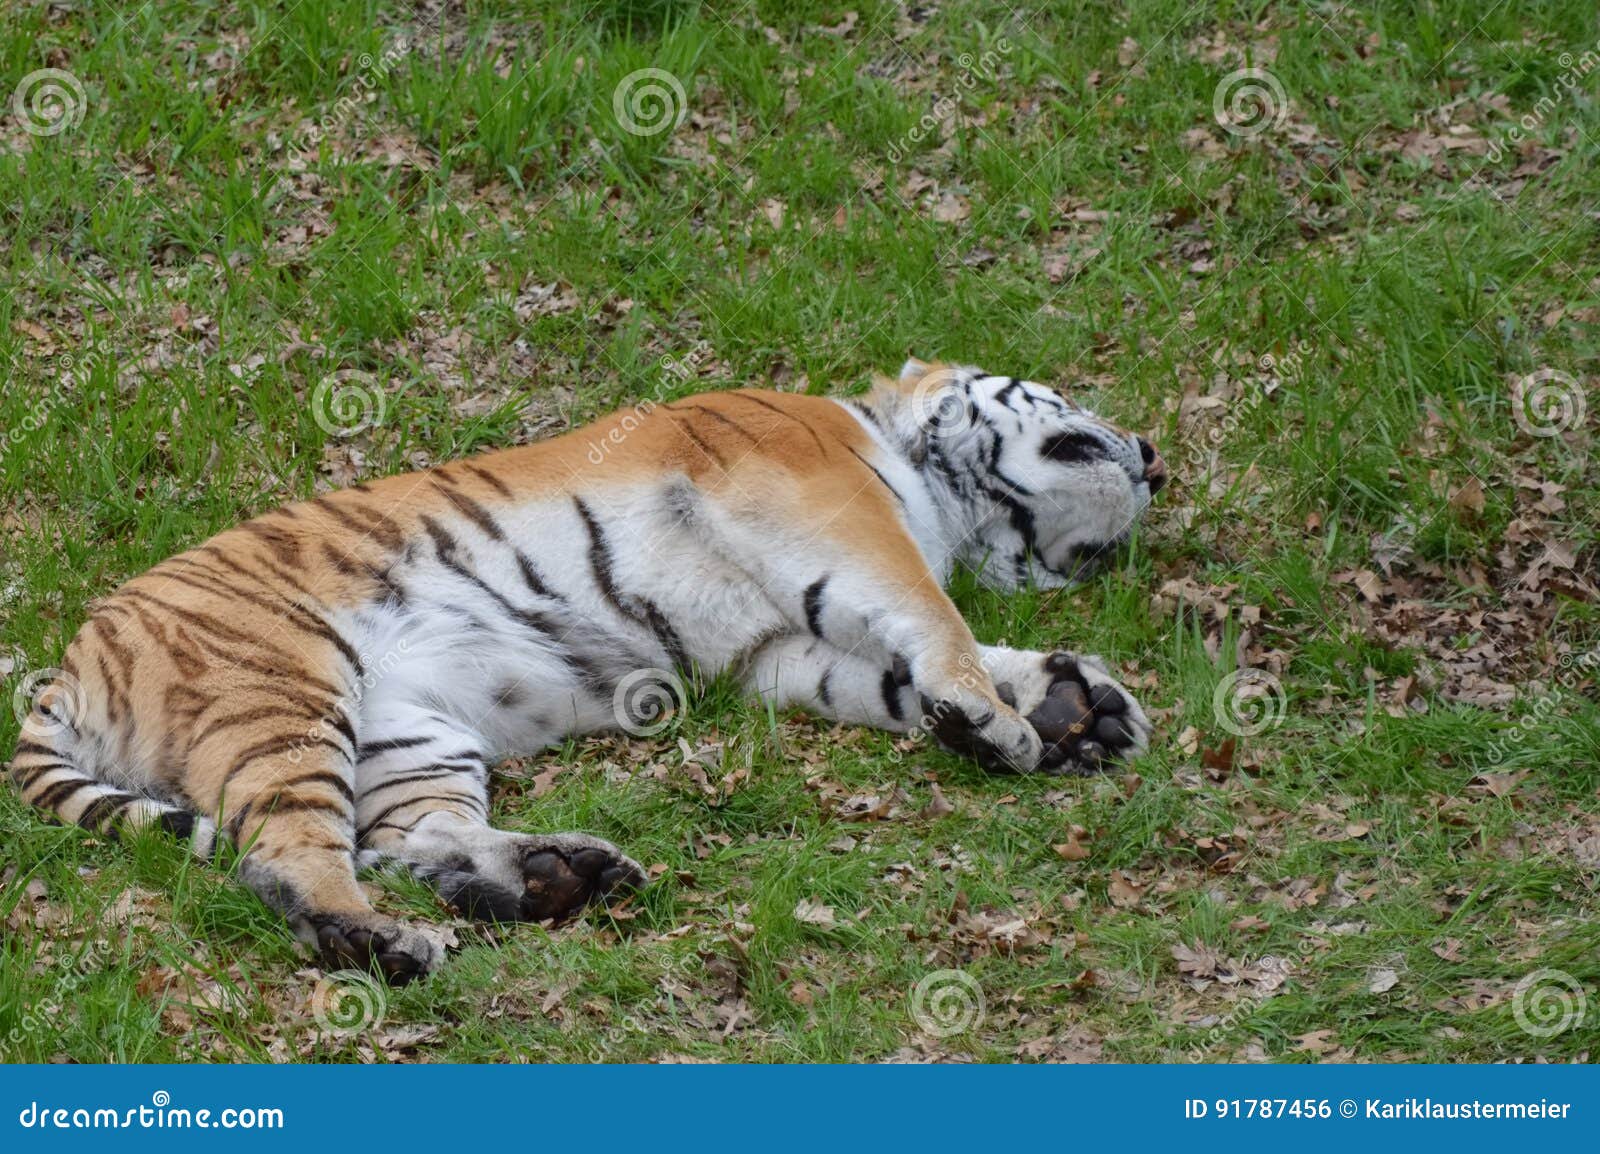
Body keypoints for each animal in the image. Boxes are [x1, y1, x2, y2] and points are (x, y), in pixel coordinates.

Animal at [6, 358, 1166, 983]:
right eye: (1070, 399)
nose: (1154, 455)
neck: (946, 502)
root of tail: (67, 668)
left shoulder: (773, 650)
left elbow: (894, 669)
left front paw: (1074, 704)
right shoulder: (831, 507)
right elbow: (933, 616)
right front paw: (999, 711)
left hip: (409, 731)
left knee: (417, 833)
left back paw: (555, 875)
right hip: (284, 688)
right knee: (288, 858)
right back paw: (389, 940)